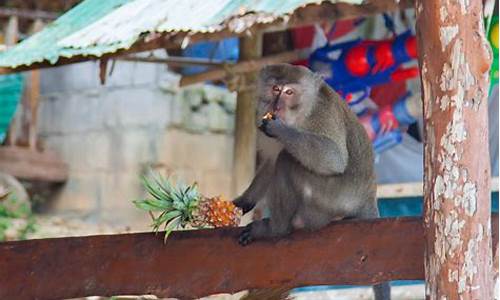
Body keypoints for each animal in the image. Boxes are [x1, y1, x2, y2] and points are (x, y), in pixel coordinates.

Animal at [233, 63, 390, 300]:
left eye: (289, 92)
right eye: (276, 88)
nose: (277, 107)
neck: (299, 115)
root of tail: (368, 194)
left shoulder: (320, 115)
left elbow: (333, 158)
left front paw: (280, 129)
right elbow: (269, 163)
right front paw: (242, 203)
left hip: (330, 199)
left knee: (287, 160)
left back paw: (276, 229)